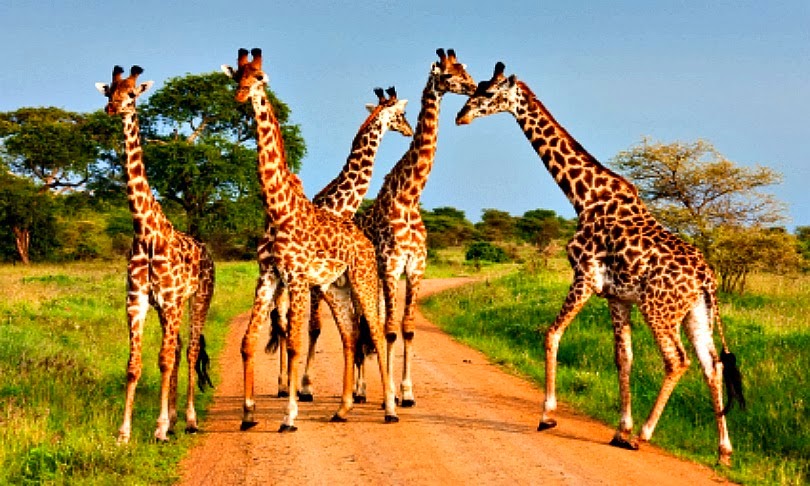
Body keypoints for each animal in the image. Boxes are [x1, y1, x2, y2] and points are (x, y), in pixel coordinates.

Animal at [96, 66, 216, 443]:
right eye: (109, 92)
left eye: (132, 94)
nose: (112, 109)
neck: (145, 232)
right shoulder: (137, 300)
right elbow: (134, 365)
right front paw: (124, 432)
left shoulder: (170, 299)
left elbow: (163, 359)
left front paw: (159, 428)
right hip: (168, 308)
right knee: (177, 351)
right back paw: (175, 419)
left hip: (198, 298)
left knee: (189, 351)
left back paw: (188, 419)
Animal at [222, 48, 398, 431]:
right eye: (237, 76)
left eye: (259, 77)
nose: (240, 96)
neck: (278, 209)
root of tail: (365, 242)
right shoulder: (269, 277)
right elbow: (249, 341)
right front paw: (248, 414)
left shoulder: (298, 278)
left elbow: (295, 344)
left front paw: (290, 416)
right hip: (337, 287)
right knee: (350, 335)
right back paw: (342, 409)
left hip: (363, 280)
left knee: (375, 334)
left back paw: (391, 408)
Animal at [267, 86, 413, 400]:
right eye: (402, 114)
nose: (408, 130)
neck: (339, 206)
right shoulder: (317, 282)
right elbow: (315, 328)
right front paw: (306, 386)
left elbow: (350, 329)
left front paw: (358, 389)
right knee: (282, 322)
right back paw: (283, 384)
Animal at [351, 48, 477, 406]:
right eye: (448, 75)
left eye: (465, 69)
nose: (474, 87)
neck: (408, 197)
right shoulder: (391, 266)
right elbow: (390, 330)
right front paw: (389, 393)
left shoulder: (416, 267)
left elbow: (405, 328)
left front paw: (406, 392)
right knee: (361, 324)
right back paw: (360, 389)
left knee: (370, 323)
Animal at [455, 62, 745, 465]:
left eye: (487, 93)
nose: (460, 116)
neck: (585, 197)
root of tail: (705, 278)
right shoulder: (616, 296)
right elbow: (623, 358)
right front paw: (619, 429)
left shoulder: (584, 278)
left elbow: (551, 333)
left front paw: (548, 416)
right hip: (695, 312)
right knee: (712, 364)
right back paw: (723, 451)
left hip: (659, 309)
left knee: (677, 361)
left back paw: (644, 435)